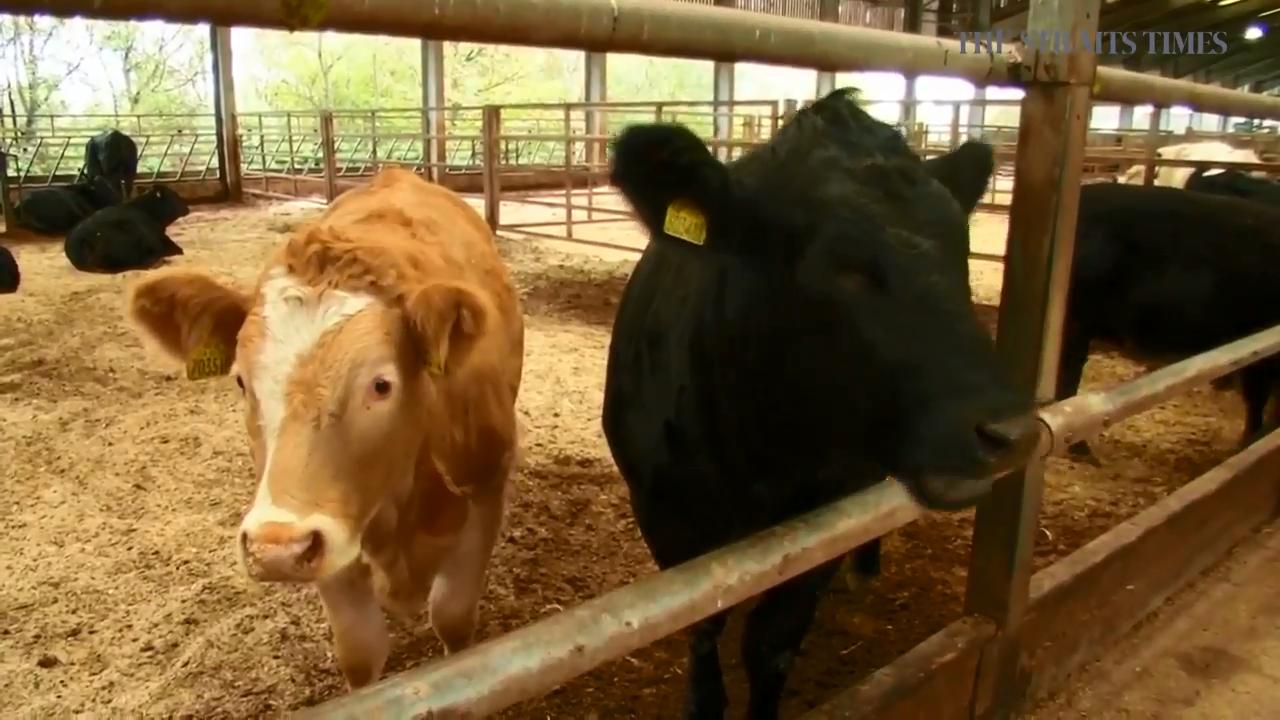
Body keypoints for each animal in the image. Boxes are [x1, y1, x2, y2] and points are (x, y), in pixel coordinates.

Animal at [124, 167, 524, 690]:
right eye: (240, 380)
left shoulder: (484, 492)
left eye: (381, 384)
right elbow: (360, 650)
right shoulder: (331, 529)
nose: (275, 549)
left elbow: (454, 622)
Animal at [601, 88, 1037, 720]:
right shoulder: (667, 516)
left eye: (962, 250)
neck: (759, 449)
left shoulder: (829, 510)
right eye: (841, 265)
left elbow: (773, 643)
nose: (1010, 430)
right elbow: (705, 628)